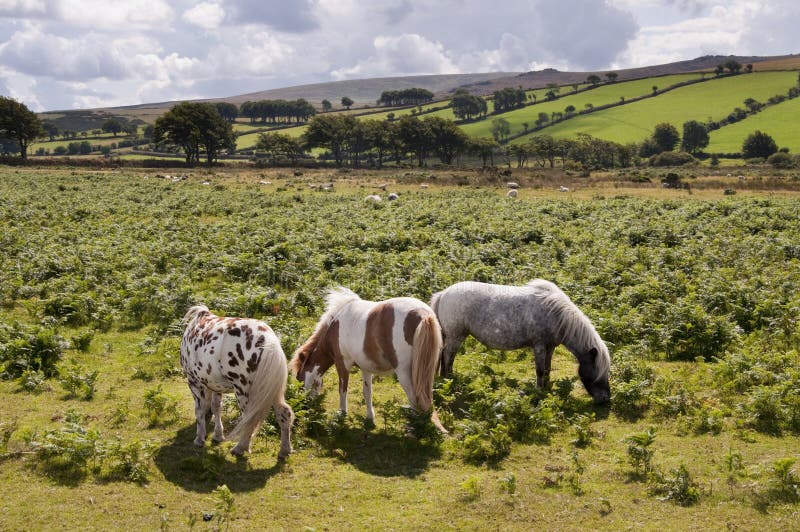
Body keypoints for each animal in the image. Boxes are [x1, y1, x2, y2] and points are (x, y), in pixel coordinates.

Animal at [180, 306, 294, 460]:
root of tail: (267, 339)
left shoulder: (194, 382)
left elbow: (200, 410)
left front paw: (199, 438)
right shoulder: (215, 385)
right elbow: (216, 407)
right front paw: (218, 435)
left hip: (243, 391)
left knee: (249, 419)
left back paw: (240, 448)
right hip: (272, 390)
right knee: (284, 414)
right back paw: (284, 450)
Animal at [290, 286, 450, 432]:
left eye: (299, 378)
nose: (306, 407)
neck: (334, 325)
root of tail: (424, 314)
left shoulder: (342, 363)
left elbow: (343, 389)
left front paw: (342, 414)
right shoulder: (365, 367)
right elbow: (367, 392)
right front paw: (370, 417)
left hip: (405, 374)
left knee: (414, 399)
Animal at [432, 280, 612, 402]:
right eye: (597, 372)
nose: (605, 399)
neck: (556, 314)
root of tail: (443, 294)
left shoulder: (550, 347)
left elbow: (547, 368)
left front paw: (547, 388)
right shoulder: (539, 346)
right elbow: (540, 370)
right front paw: (539, 391)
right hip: (456, 336)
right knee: (447, 356)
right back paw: (449, 379)